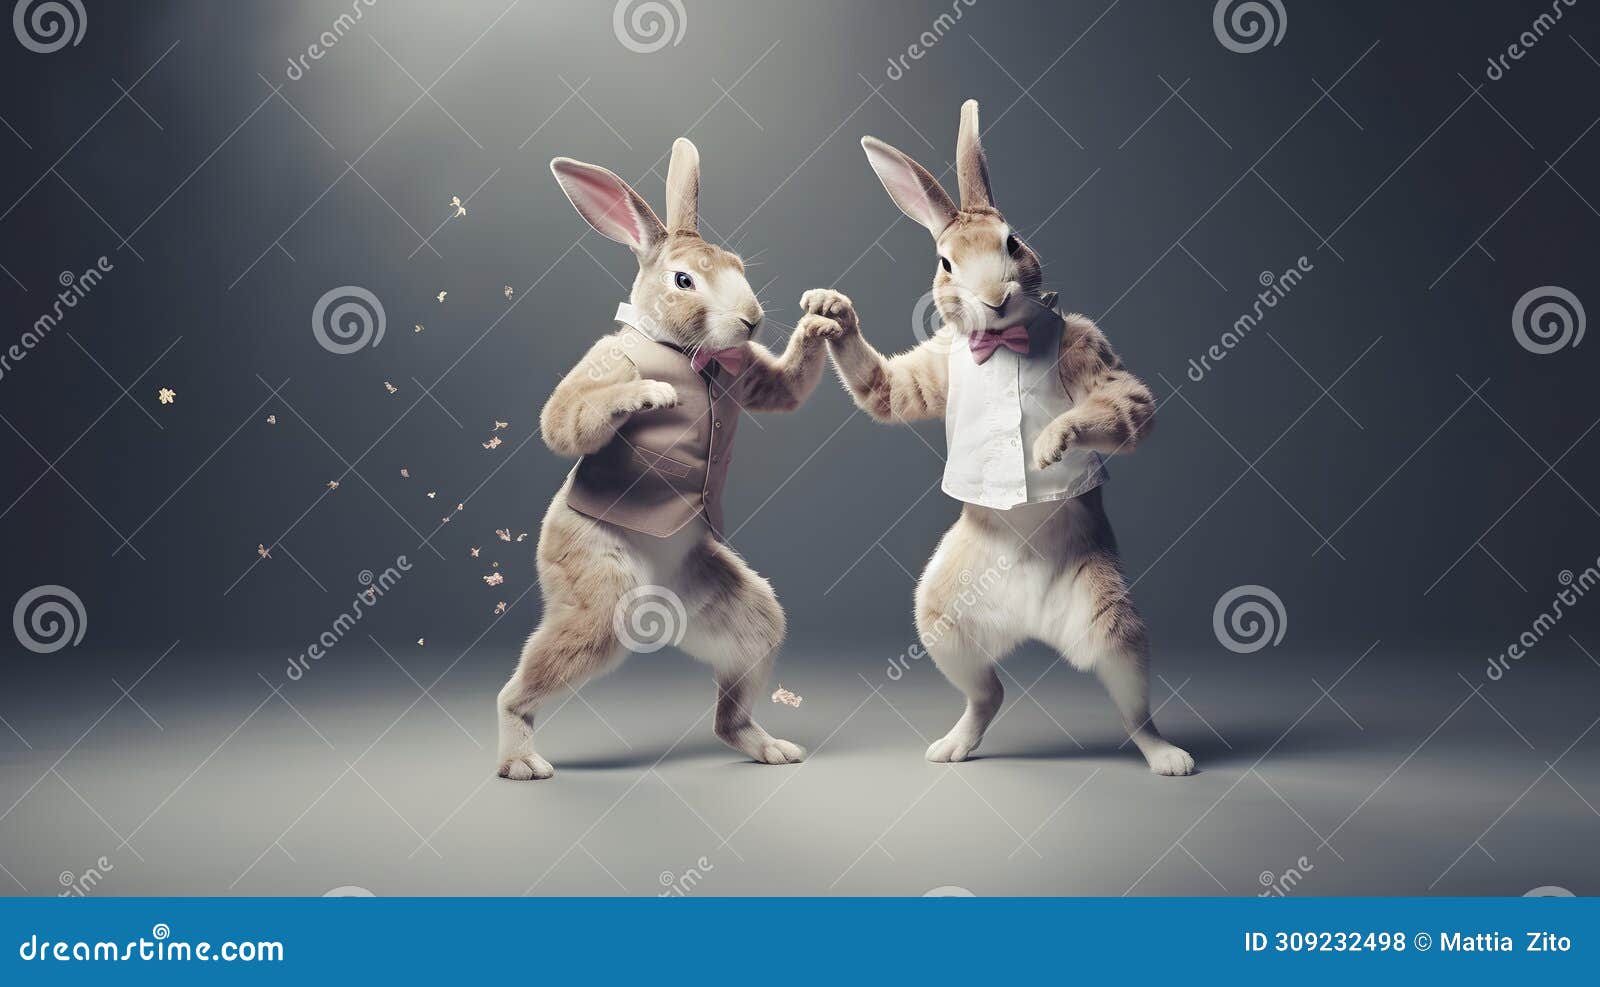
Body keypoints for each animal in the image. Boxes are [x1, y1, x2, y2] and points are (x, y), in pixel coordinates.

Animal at [495, 138, 847, 780]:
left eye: (737, 264)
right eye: (683, 279)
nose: (751, 319)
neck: (685, 353)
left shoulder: (750, 376)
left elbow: (786, 387)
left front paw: (823, 312)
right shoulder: (604, 366)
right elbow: (563, 422)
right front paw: (647, 396)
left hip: (740, 610)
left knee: (730, 711)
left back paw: (770, 749)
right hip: (596, 607)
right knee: (519, 692)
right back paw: (522, 762)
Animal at [810, 100, 1194, 775]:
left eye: (1012, 242)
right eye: (946, 263)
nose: (993, 298)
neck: (1003, 343)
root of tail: (1033, 621)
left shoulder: (1092, 355)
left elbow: (1128, 407)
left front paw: (1052, 443)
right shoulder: (932, 369)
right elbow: (886, 391)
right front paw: (831, 311)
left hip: (1113, 623)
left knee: (1133, 709)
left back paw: (1168, 757)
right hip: (940, 616)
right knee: (988, 692)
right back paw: (952, 746)